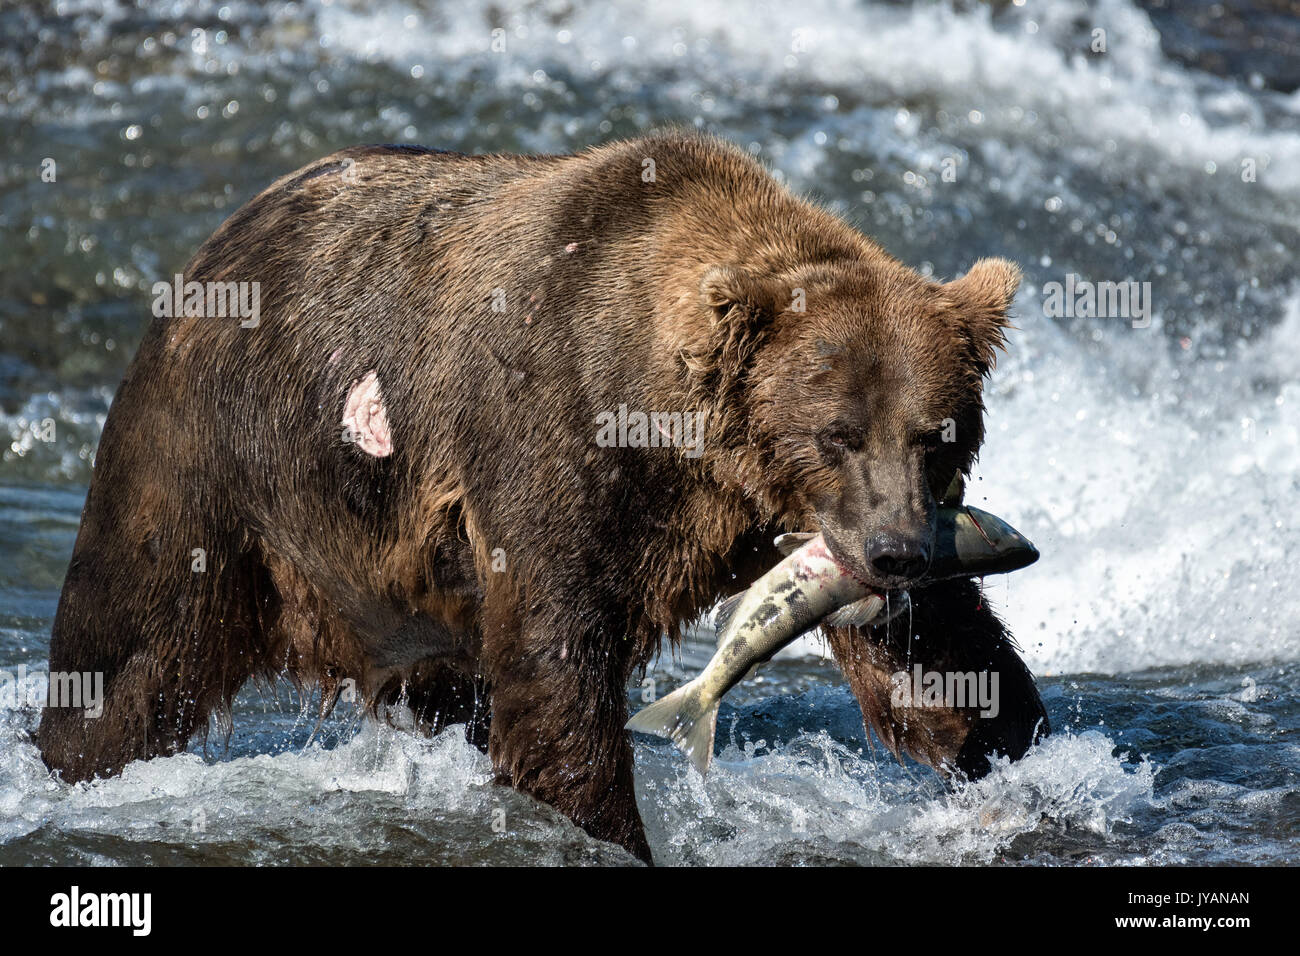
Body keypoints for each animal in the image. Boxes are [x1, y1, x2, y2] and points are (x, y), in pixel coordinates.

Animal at [38, 131, 1048, 863]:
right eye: (836, 432)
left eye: (937, 434)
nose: (894, 554)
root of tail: (216, 242)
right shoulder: (547, 445)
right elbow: (558, 665)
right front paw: (606, 827)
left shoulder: (794, 525)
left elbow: (935, 660)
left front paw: (1010, 747)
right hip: (212, 462)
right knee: (127, 650)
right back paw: (75, 764)